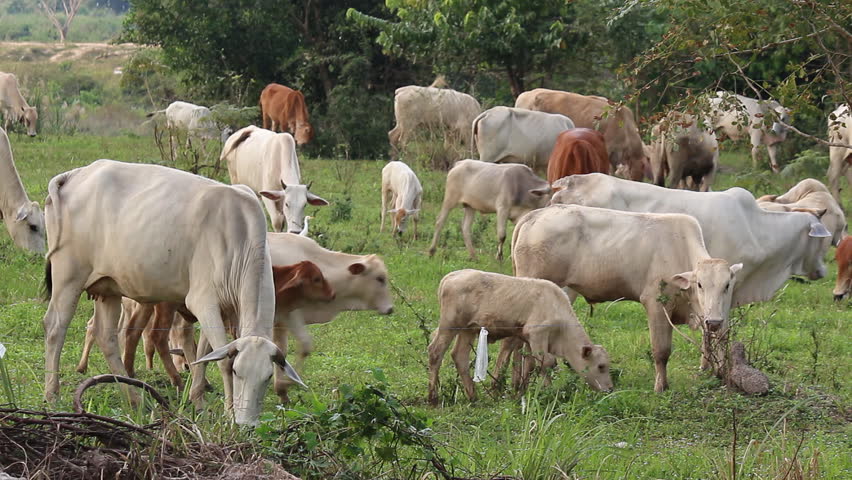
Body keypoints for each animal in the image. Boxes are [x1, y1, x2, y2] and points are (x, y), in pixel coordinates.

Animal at [42, 159, 302, 426]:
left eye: (267, 377)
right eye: (237, 371)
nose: (247, 424)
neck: (240, 239)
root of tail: (75, 174)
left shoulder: (219, 308)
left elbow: (204, 353)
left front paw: (198, 399)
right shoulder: (203, 301)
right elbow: (220, 360)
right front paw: (228, 412)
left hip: (108, 288)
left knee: (107, 338)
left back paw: (134, 399)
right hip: (68, 277)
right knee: (55, 327)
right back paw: (52, 394)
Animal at [427, 269, 612, 404]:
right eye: (601, 366)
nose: (610, 389)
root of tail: (452, 276)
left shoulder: (528, 338)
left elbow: (529, 365)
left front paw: (521, 393)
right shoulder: (537, 334)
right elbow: (546, 363)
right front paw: (550, 393)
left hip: (468, 330)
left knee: (460, 356)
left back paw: (474, 397)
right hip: (450, 324)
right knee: (436, 351)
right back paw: (433, 397)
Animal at [512, 204, 743, 391]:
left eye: (727, 285)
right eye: (700, 284)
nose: (714, 321)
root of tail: (536, 214)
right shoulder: (656, 304)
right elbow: (661, 351)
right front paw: (661, 387)